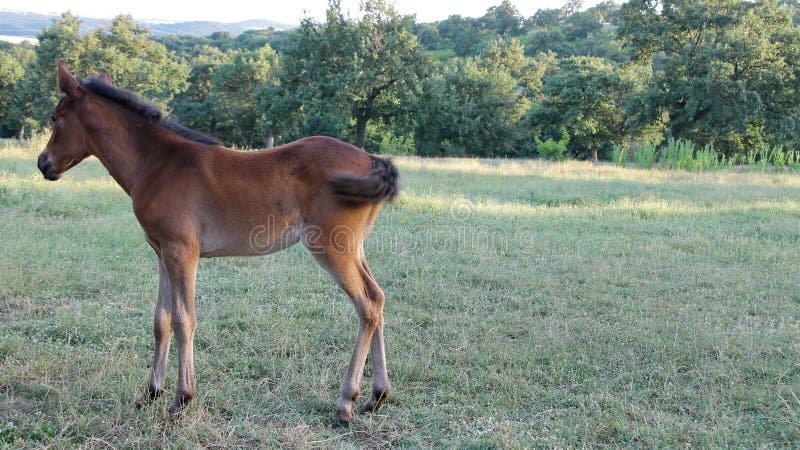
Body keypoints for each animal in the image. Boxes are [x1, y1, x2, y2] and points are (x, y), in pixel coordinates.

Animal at [37, 61, 398, 425]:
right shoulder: (162, 253)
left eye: (54, 117)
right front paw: (151, 393)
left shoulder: (182, 252)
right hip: (354, 247)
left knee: (367, 305)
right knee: (378, 298)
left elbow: (184, 320)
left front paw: (181, 399)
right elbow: (161, 320)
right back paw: (376, 397)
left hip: (331, 247)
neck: (158, 164)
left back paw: (346, 402)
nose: (43, 164)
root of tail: (371, 159)